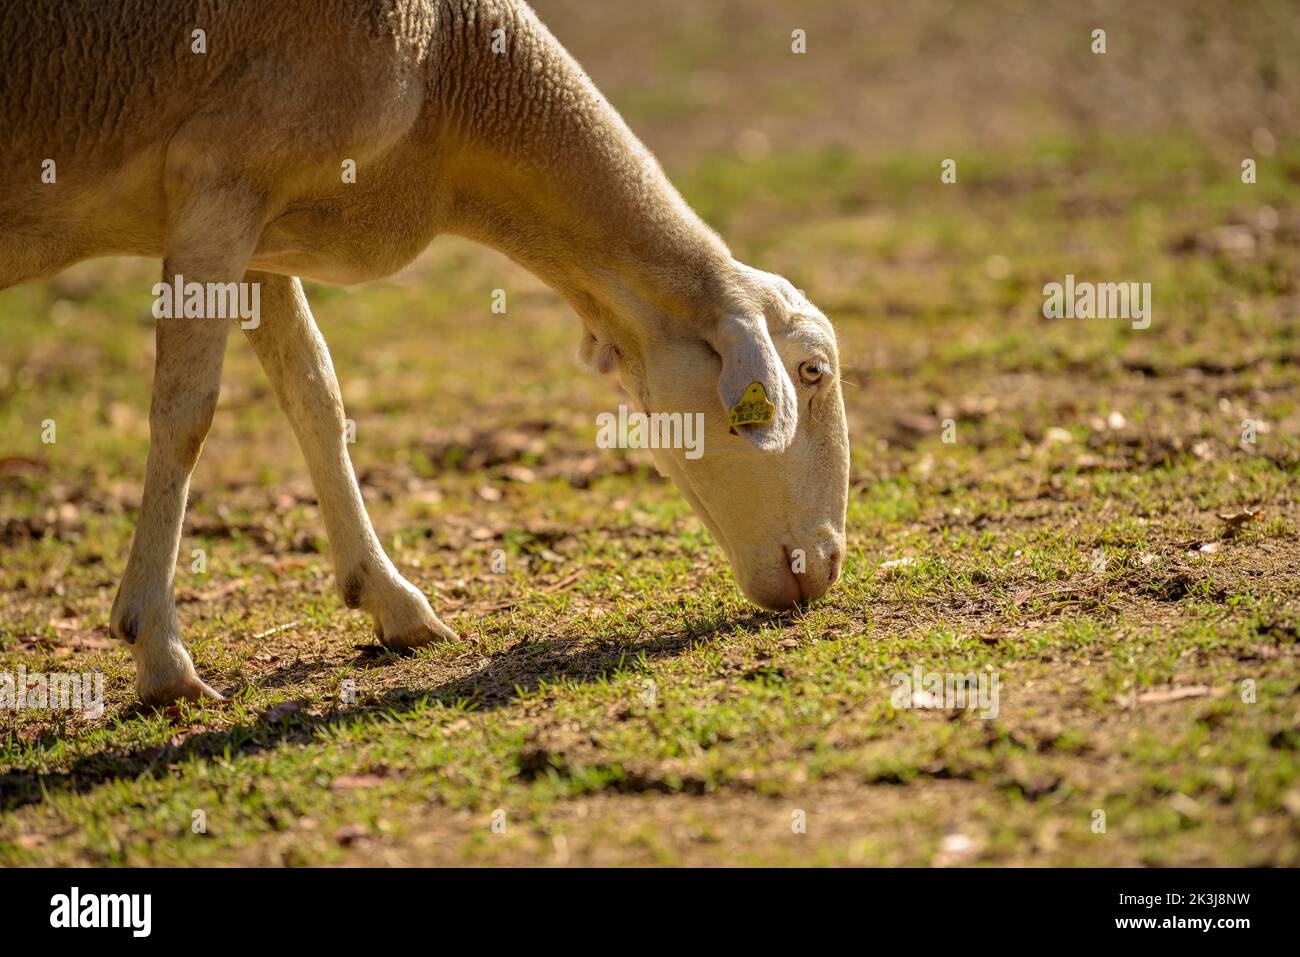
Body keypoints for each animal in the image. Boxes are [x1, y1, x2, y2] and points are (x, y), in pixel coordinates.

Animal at [0, 0, 850, 705]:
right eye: (811, 371)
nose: (828, 565)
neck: (449, 71)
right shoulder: (219, 179)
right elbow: (187, 414)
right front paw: (160, 656)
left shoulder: (260, 227)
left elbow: (315, 394)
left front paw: (392, 602)